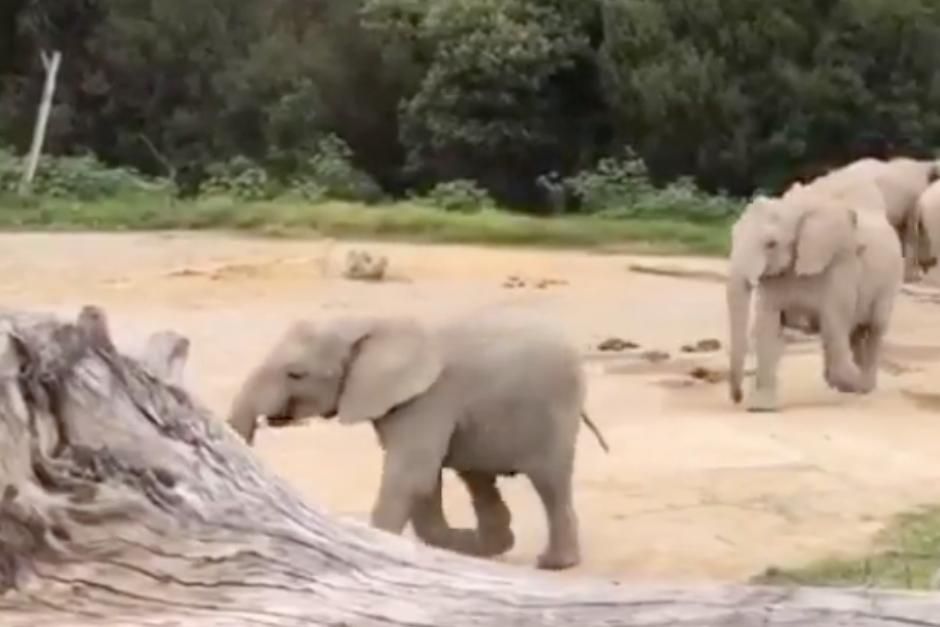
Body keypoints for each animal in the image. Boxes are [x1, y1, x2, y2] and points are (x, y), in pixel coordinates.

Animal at [225, 310, 609, 570]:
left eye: (296, 374)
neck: (371, 321)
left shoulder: (429, 397)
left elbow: (412, 476)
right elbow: (424, 480)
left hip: (555, 411)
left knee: (549, 483)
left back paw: (552, 564)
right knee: (477, 475)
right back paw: (488, 547)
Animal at [727, 182, 904, 411]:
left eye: (771, 244)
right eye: (733, 235)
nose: (737, 398)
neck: (794, 210)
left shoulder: (841, 267)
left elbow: (832, 325)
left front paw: (851, 382)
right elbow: (767, 327)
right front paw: (760, 408)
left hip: (891, 279)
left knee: (875, 327)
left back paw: (865, 386)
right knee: (855, 331)